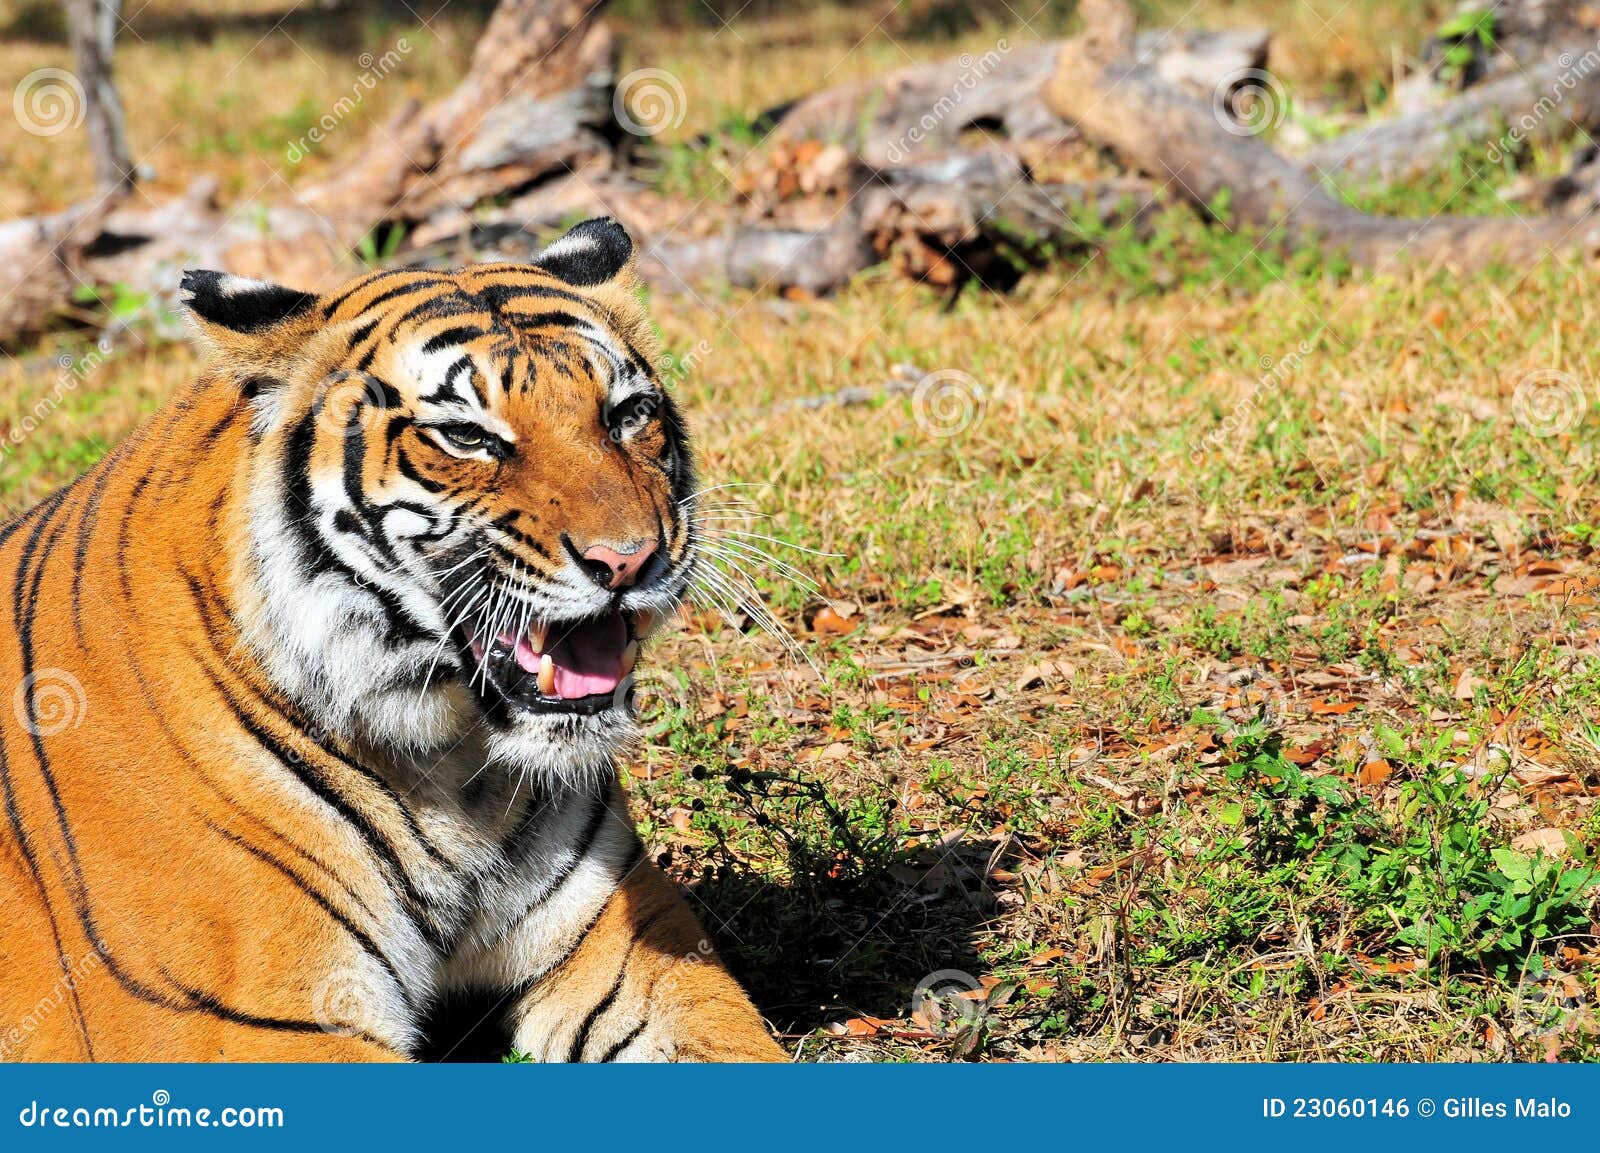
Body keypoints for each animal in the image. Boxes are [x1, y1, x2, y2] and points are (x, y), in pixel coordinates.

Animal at [0, 217, 786, 1062]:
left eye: (626, 413)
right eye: (468, 436)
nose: (630, 559)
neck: (458, 771)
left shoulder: (631, 954)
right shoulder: (258, 1019)